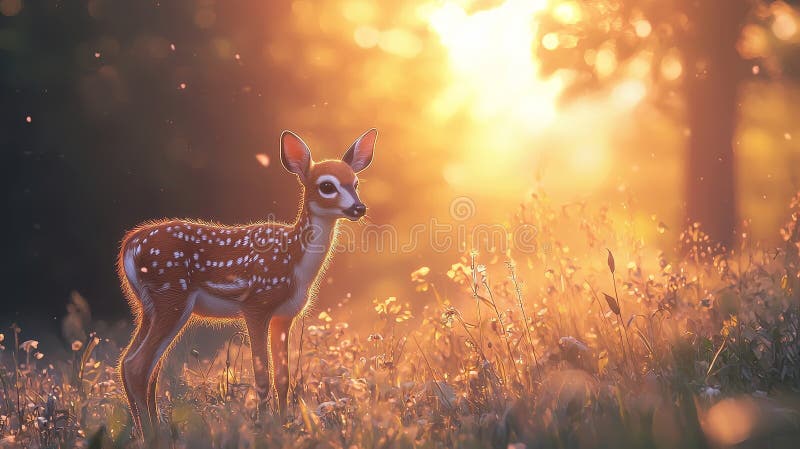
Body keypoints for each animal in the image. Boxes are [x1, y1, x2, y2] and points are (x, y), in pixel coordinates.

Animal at [116, 129, 376, 437]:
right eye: (327, 186)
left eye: (356, 183)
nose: (359, 208)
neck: (295, 261)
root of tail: (130, 244)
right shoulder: (256, 304)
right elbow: (262, 376)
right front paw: (263, 429)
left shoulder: (284, 315)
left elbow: (283, 378)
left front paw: (284, 426)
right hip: (171, 297)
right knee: (138, 366)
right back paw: (153, 435)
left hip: (148, 307)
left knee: (134, 364)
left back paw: (152, 431)